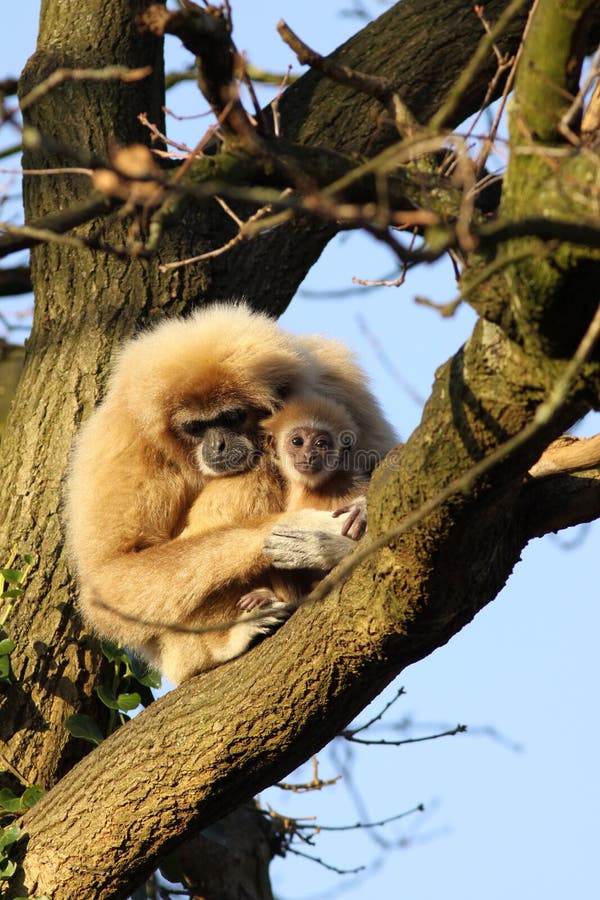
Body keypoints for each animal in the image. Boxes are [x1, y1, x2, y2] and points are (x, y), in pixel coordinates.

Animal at [65, 303, 397, 684]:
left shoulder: (338, 381)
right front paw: (313, 532)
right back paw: (229, 640)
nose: (219, 444)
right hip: (178, 651)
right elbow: (112, 576)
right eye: (196, 427)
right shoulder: (122, 439)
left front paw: (353, 522)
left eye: (232, 416)